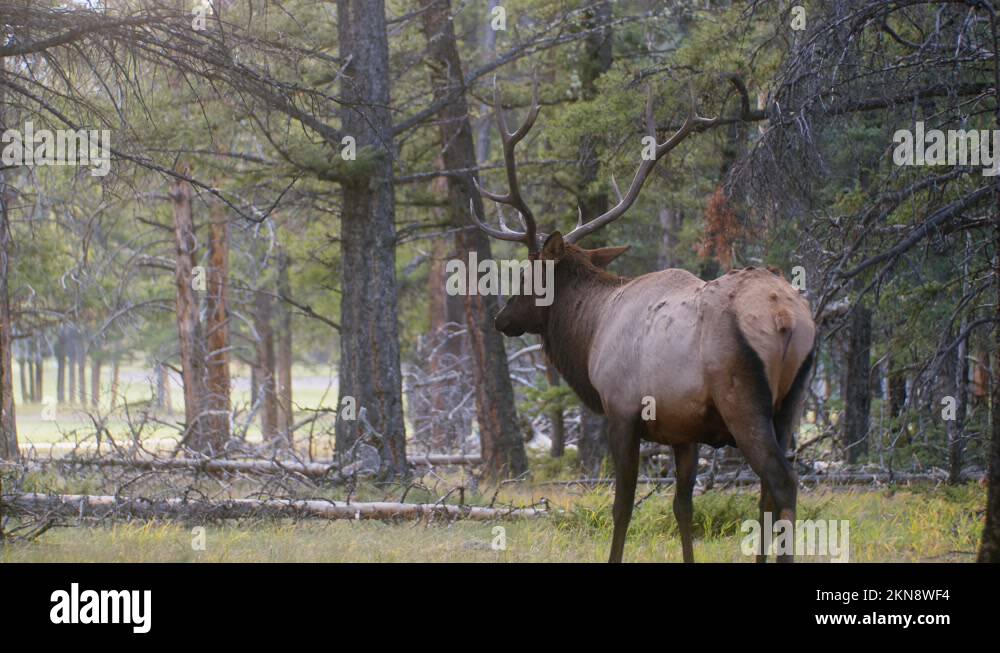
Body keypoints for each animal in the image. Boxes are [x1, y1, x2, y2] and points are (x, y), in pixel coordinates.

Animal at [469, 80, 816, 563]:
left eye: (527, 274)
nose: (501, 319)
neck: (590, 335)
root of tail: (787, 316)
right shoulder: (685, 431)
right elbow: (682, 507)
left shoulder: (621, 409)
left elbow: (622, 505)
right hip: (791, 404)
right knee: (768, 491)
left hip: (743, 401)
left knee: (783, 483)